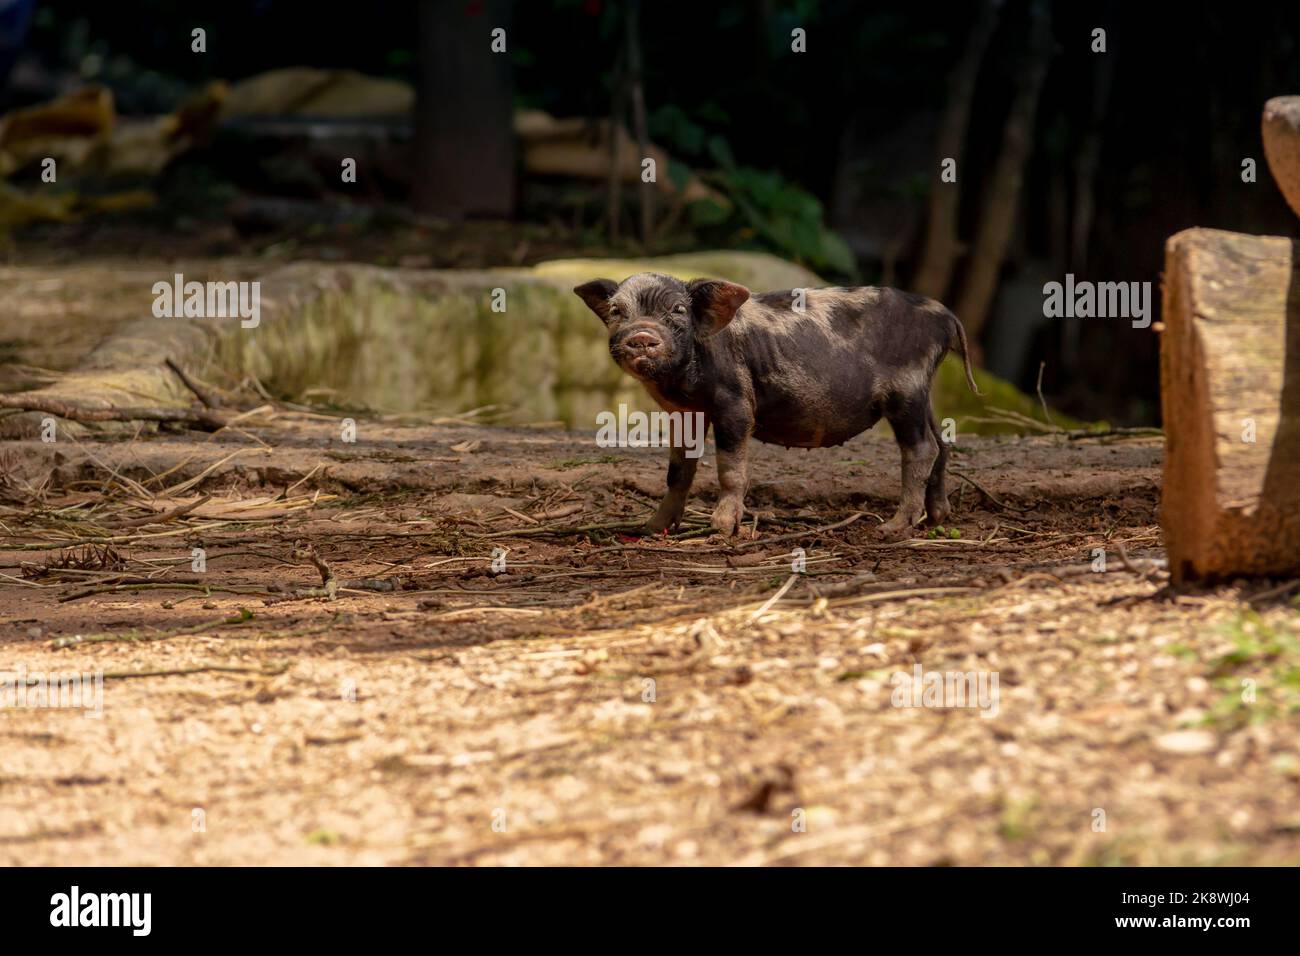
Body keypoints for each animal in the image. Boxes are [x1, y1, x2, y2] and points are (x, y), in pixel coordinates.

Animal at [573, 273, 980, 540]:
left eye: (676, 309)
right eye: (617, 310)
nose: (642, 335)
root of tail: (944, 315)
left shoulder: (736, 401)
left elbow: (730, 469)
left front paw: (720, 529)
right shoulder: (684, 413)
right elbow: (678, 472)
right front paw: (651, 529)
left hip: (905, 392)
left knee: (922, 448)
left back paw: (892, 528)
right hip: (922, 394)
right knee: (942, 443)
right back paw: (936, 518)